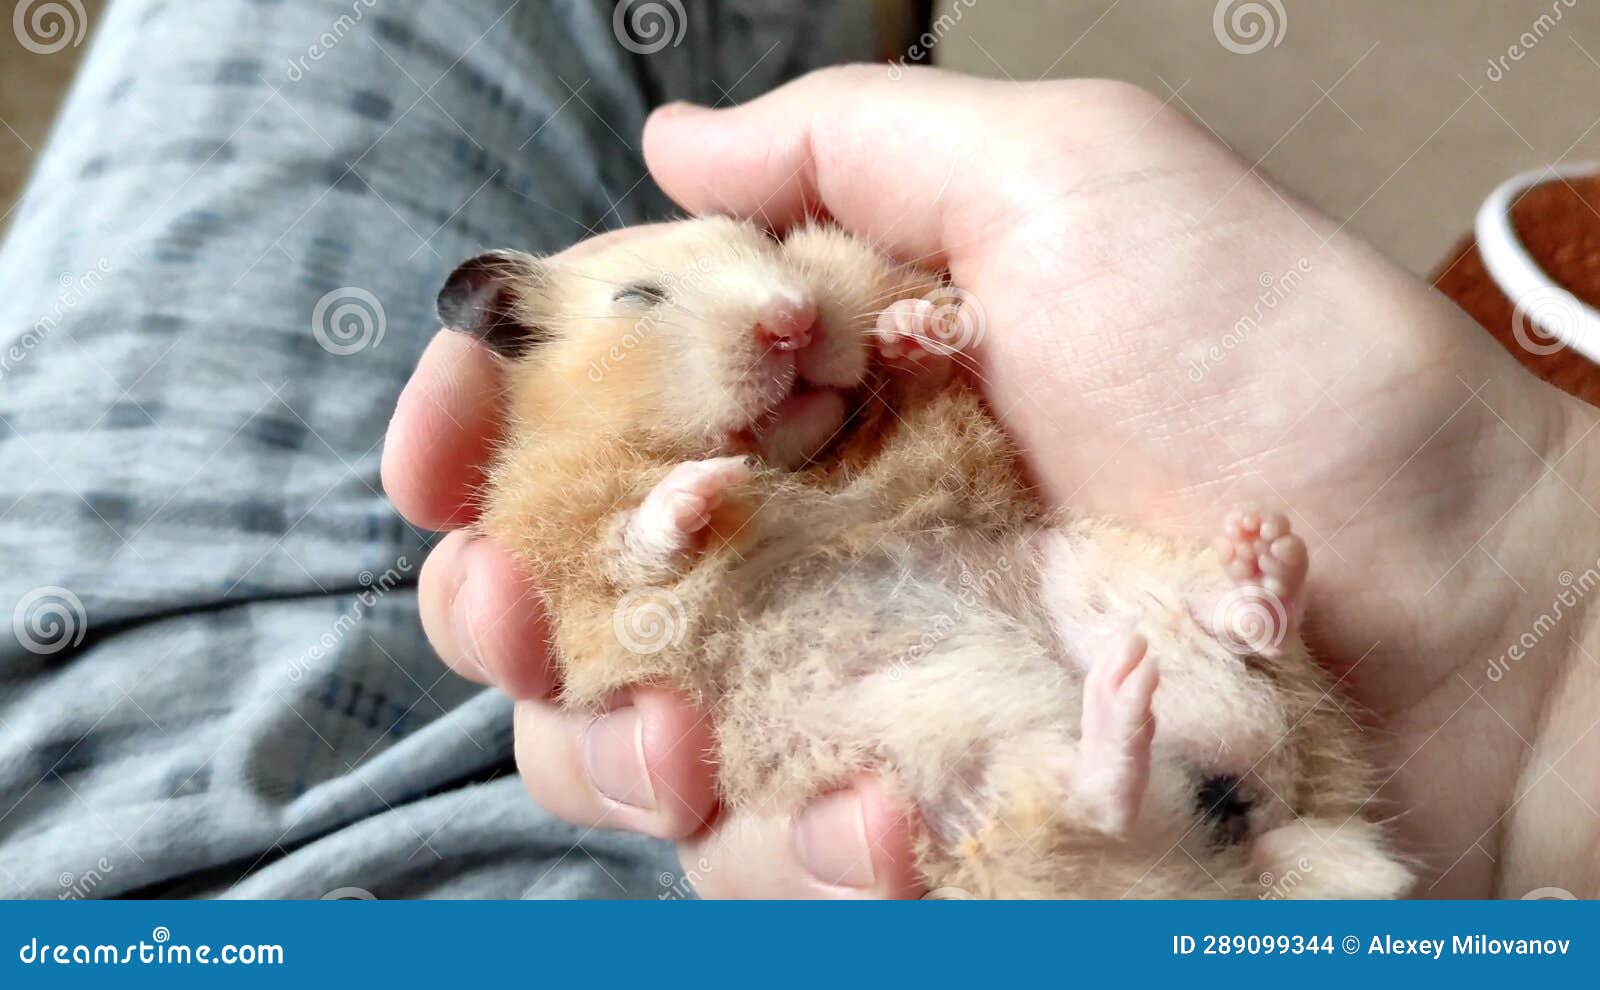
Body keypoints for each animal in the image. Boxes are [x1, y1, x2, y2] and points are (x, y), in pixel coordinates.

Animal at [438, 217, 1413, 899]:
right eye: (639, 298)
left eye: (770, 241)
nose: (793, 319)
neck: (803, 460)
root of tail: (1259, 832)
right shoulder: (572, 578)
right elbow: (635, 545)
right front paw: (703, 487)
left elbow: (922, 375)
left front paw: (910, 326)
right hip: (977, 811)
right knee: (1092, 812)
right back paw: (1122, 715)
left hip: (1086, 565)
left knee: (1234, 634)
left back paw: (1260, 562)